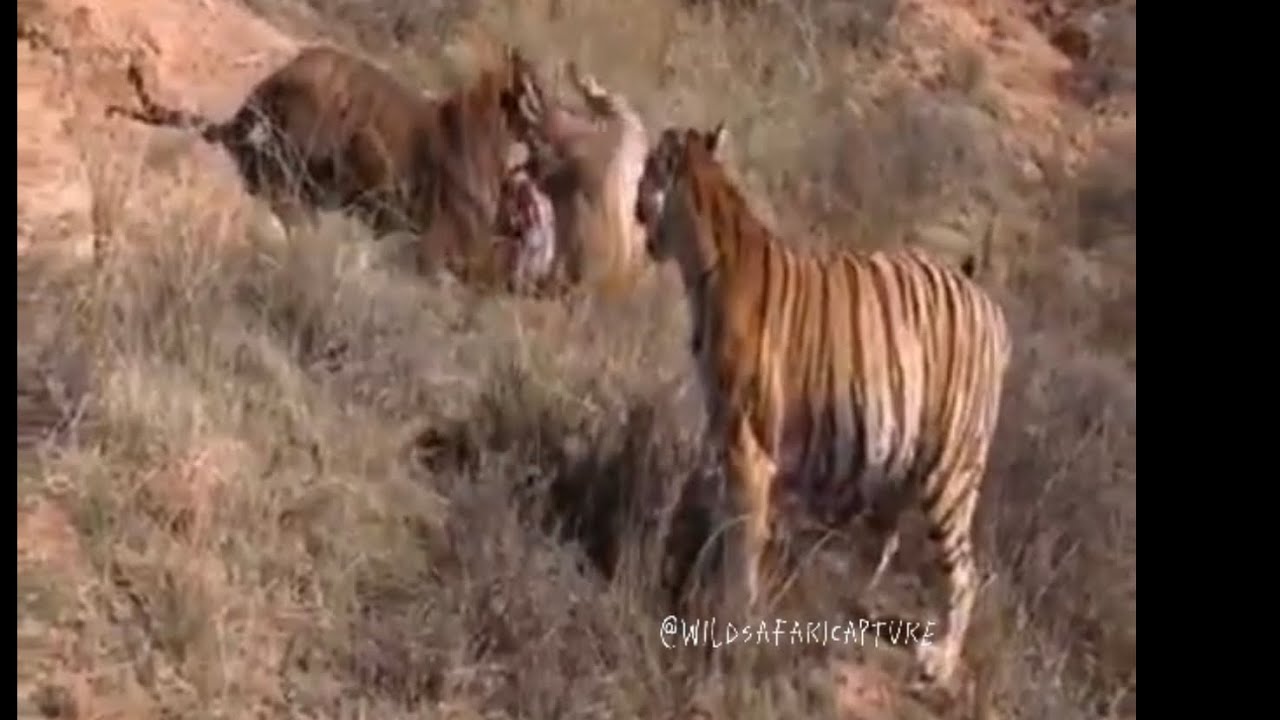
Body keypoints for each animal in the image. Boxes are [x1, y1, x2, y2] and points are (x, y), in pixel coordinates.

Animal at [633, 123, 1013, 690]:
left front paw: (729, 626)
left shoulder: (748, 450)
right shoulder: (723, 440)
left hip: (950, 472)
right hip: (906, 461)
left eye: (647, 172)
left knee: (965, 571)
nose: (635, 203)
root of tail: (987, 302)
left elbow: (741, 548)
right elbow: (724, 528)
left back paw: (940, 658)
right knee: (887, 543)